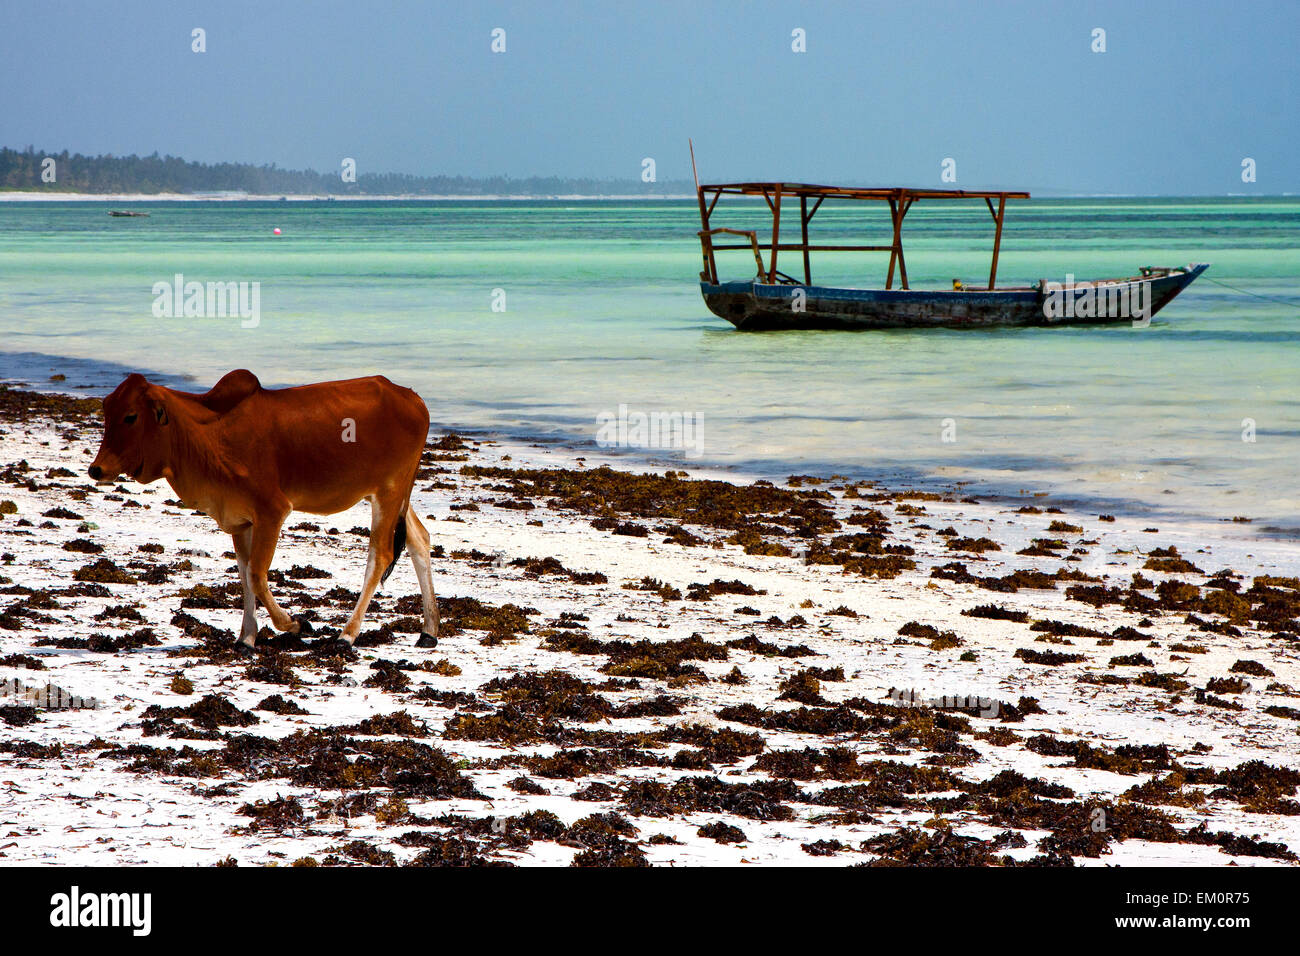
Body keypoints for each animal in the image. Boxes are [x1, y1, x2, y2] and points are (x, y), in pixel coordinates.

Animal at [87, 369, 438, 653]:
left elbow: (256, 575)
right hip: (394, 495)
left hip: (389, 492)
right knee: (419, 539)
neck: (209, 435)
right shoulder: (241, 522)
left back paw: (347, 635)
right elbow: (244, 575)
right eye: (107, 411)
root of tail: (411, 397)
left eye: (131, 416)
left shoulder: (272, 510)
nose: (96, 469)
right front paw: (246, 638)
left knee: (380, 555)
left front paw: (296, 625)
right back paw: (429, 631)